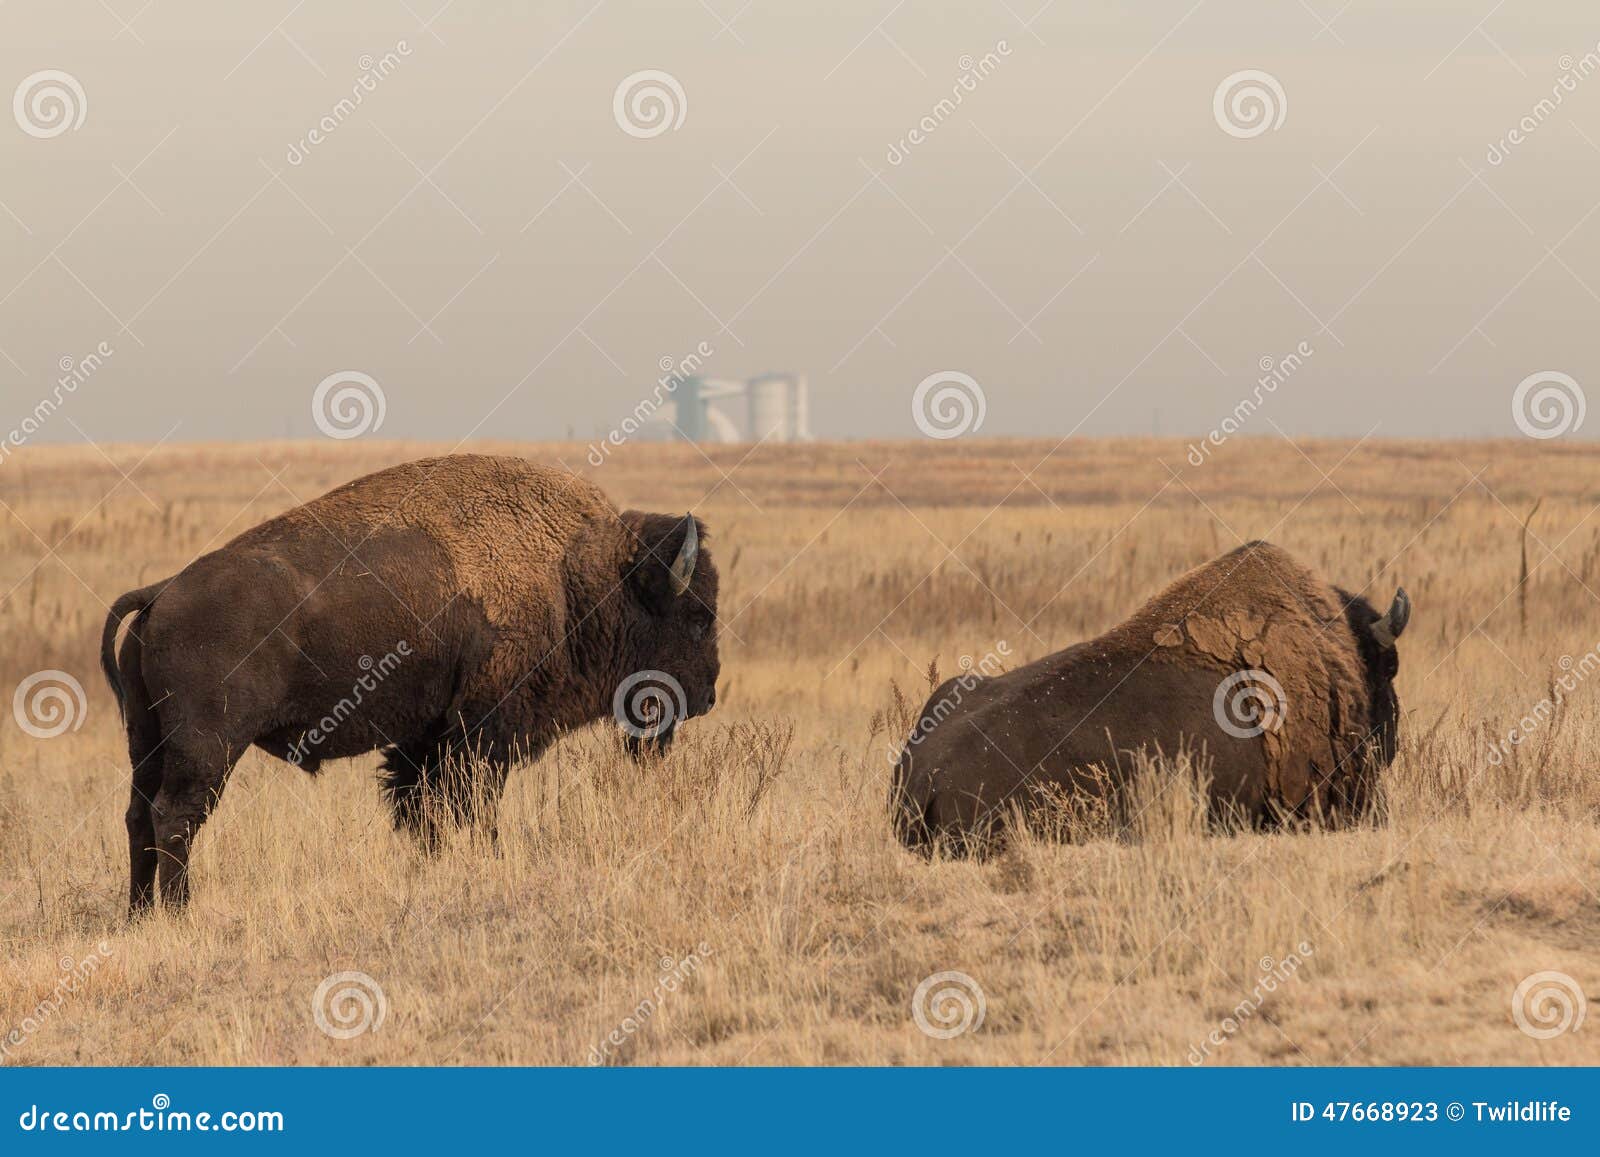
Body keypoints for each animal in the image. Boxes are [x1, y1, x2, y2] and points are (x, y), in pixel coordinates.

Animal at [100, 455, 720, 913]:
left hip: (147, 742)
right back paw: (180, 911)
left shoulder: (426, 738)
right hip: (207, 747)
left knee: (137, 816)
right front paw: (487, 861)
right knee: (175, 815)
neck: (577, 578)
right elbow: (472, 807)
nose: (708, 696)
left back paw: (140, 915)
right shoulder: (481, 734)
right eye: (698, 616)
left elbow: (424, 809)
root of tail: (161, 591)